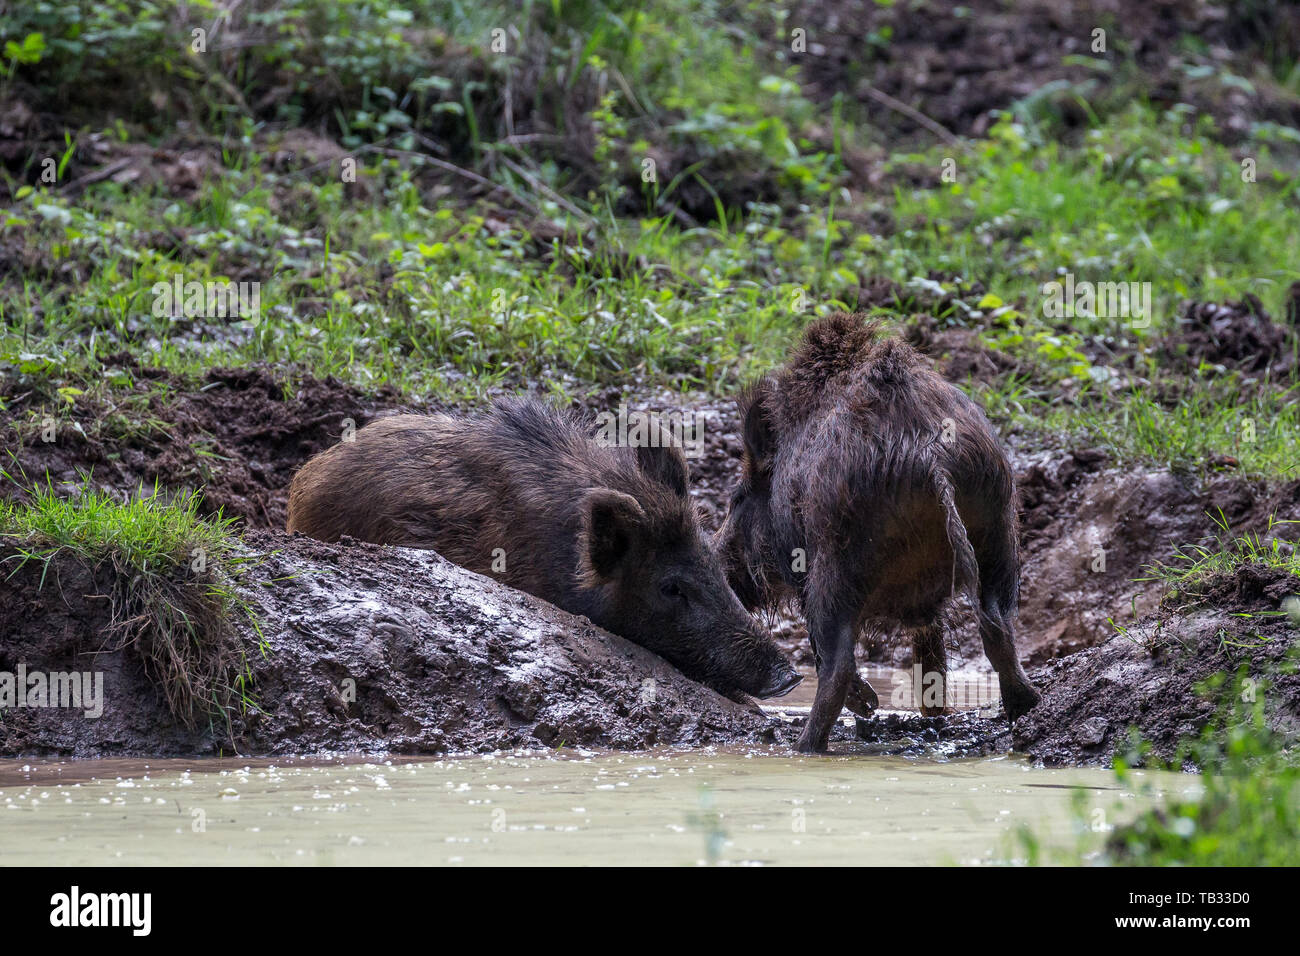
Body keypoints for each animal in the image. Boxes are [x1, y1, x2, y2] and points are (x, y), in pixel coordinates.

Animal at [715, 313, 1041, 752]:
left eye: (737, 498)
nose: (715, 558)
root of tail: (933, 456)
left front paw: (870, 707)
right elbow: (932, 652)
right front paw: (932, 717)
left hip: (836, 569)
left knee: (835, 666)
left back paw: (806, 745)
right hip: (999, 538)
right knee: (999, 631)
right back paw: (1023, 712)